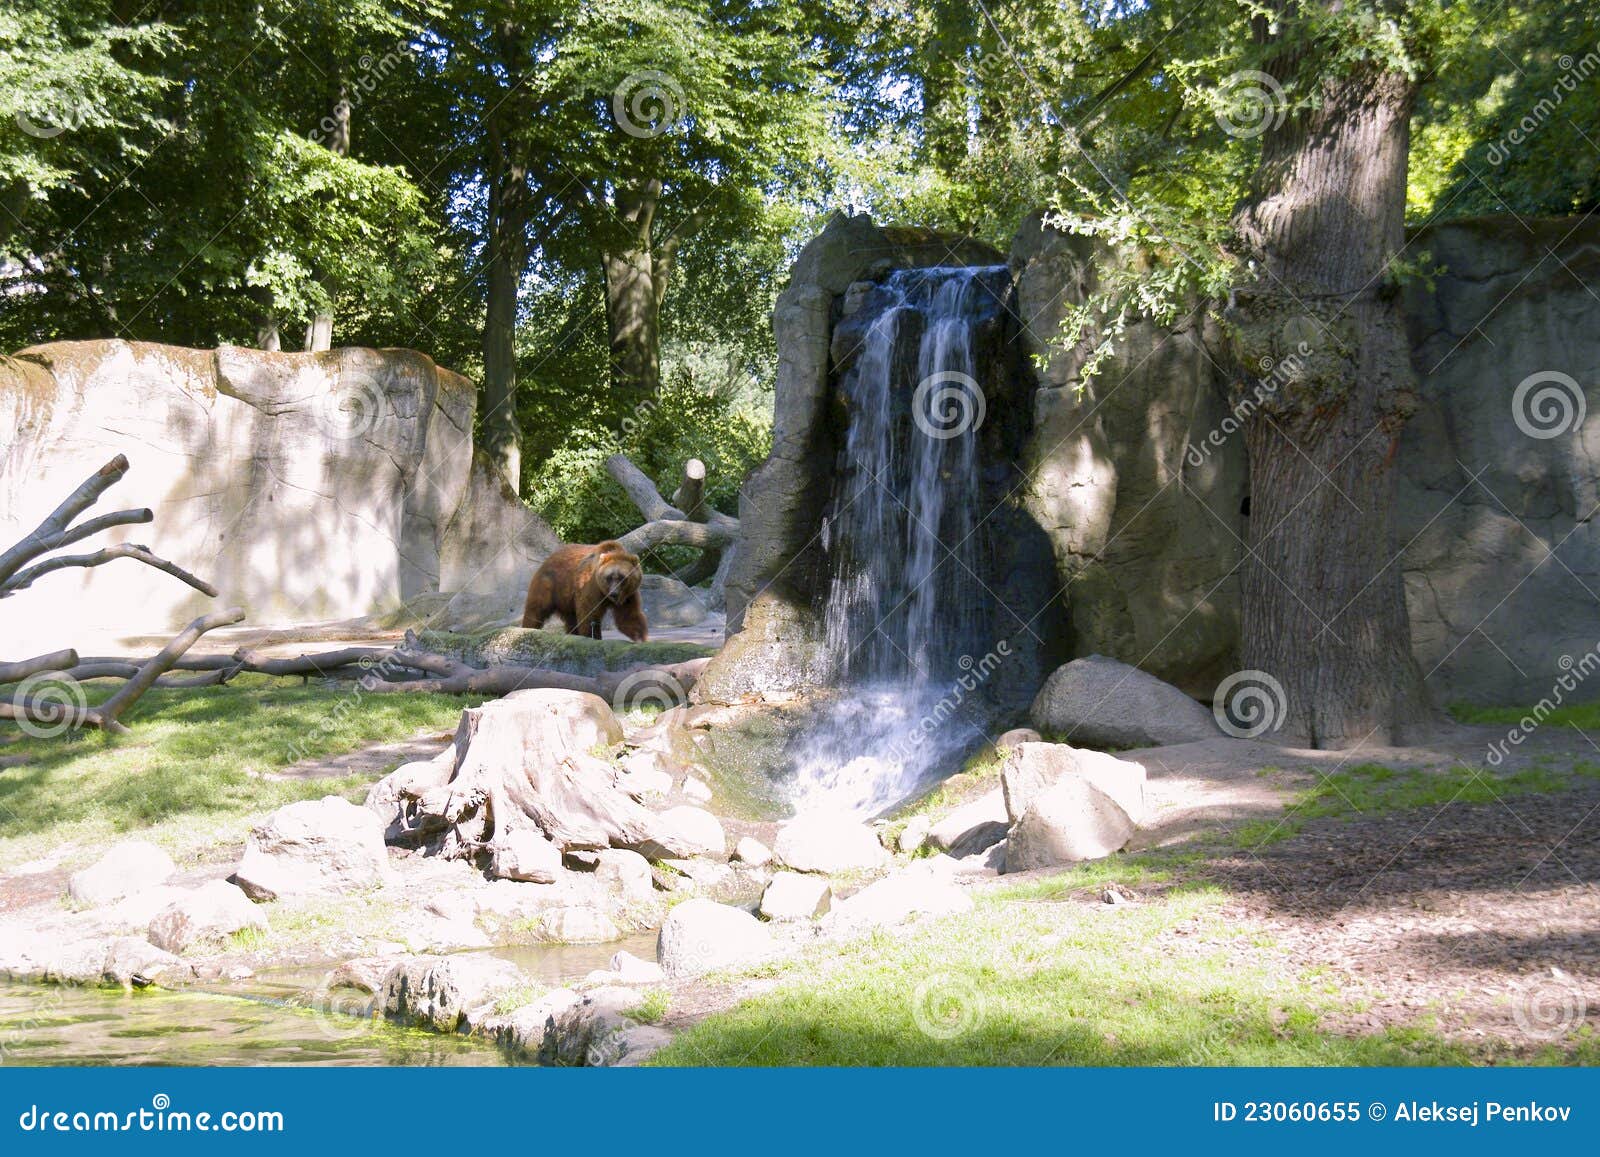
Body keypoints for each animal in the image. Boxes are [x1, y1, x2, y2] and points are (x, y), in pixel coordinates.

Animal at [521, 540, 649, 642]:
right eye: (609, 577)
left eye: (622, 577)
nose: (614, 593)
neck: (604, 592)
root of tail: (548, 558)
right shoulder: (591, 587)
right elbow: (588, 615)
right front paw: (593, 637)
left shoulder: (628, 595)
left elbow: (629, 616)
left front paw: (641, 639)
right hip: (550, 584)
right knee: (536, 609)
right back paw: (528, 628)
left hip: (567, 598)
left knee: (571, 618)